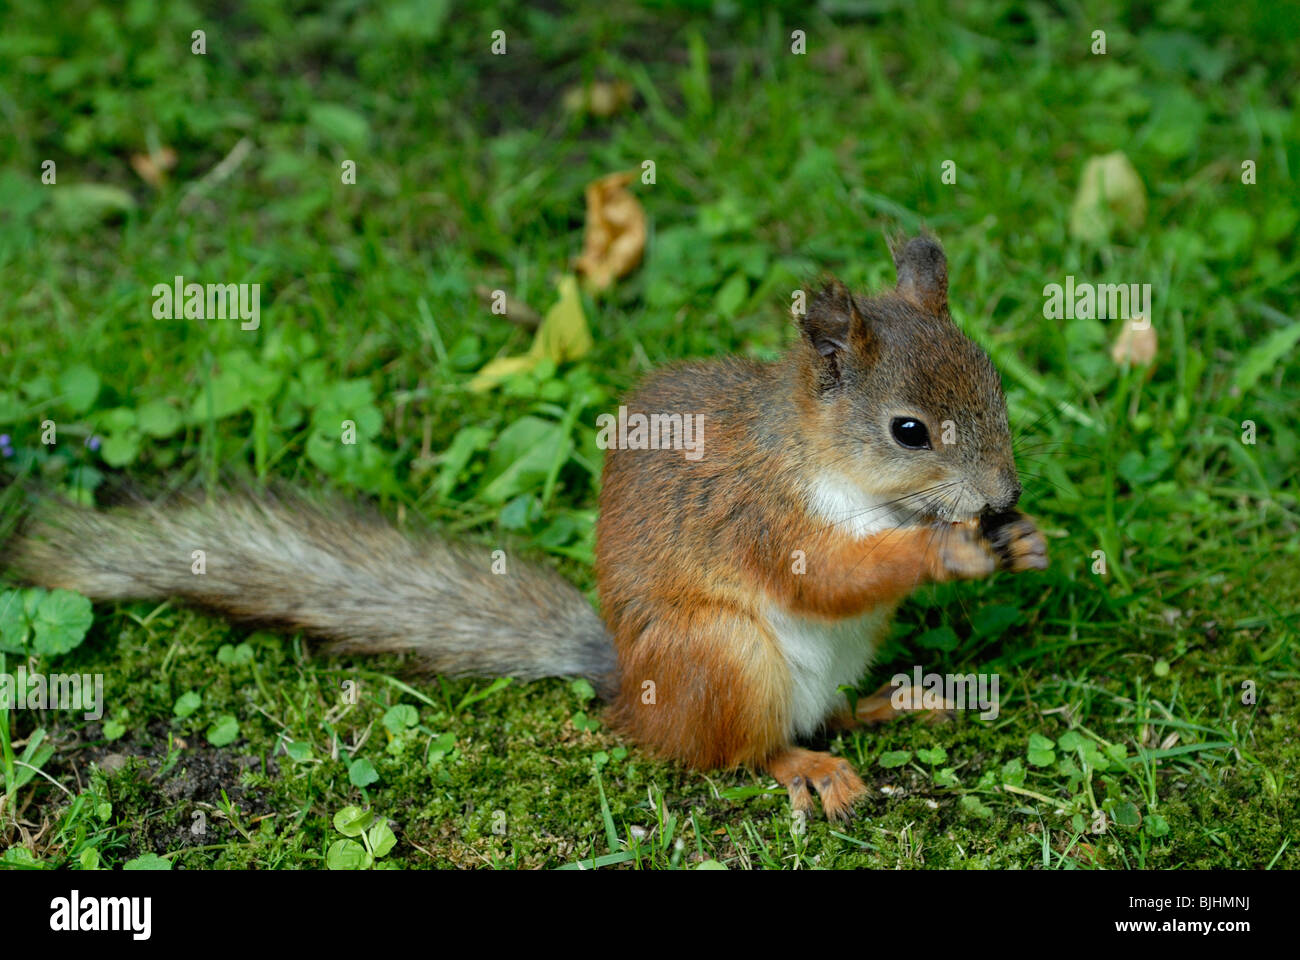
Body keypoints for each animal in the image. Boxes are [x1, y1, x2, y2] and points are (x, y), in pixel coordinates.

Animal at [6, 235, 1047, 821]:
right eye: (908, 431)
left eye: (997, 385)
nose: (1002, 494)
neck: (824, 463)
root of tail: (630, 689)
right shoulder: (758, 516)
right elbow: (825, 575)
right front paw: (947, 548)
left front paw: (1023, 540)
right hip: (722, 657)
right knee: (738, 749)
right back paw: (807, 766)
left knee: (827, 707)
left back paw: (896, 702)